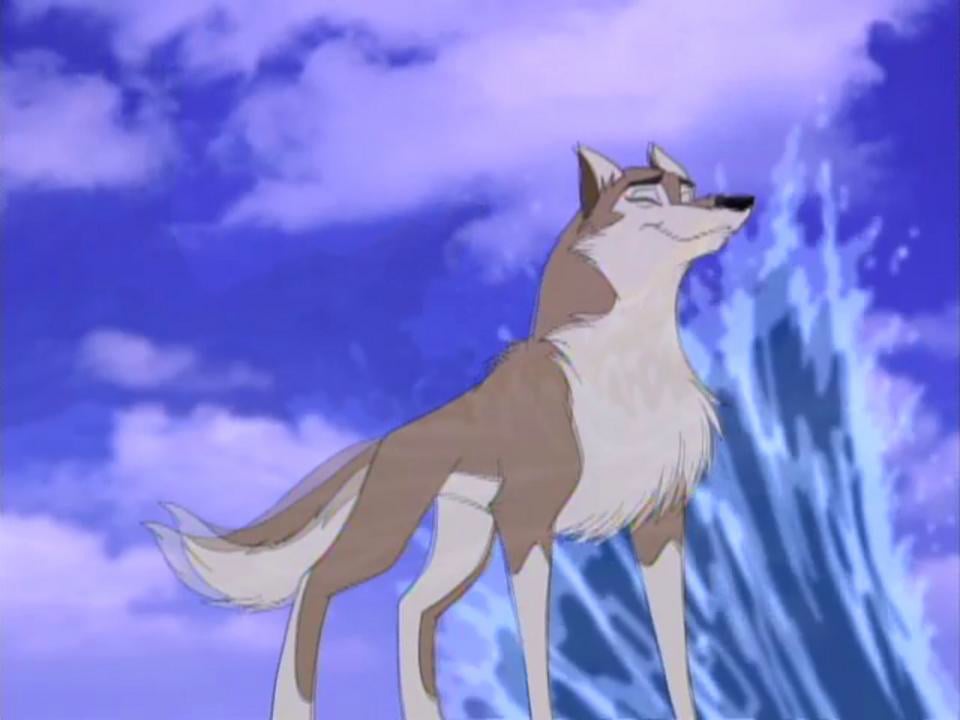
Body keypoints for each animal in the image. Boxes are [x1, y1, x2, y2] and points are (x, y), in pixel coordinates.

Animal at [147, 143, 754, 720]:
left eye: (689, 186)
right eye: (648, 196)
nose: (737, 201)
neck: (627, 362)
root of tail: (386, 441)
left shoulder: (661, 523)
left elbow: (676, 656)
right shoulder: (527, 524)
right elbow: (537, 657)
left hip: (464, 543)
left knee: (411, 607)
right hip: (389, 534)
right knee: (316, 585)